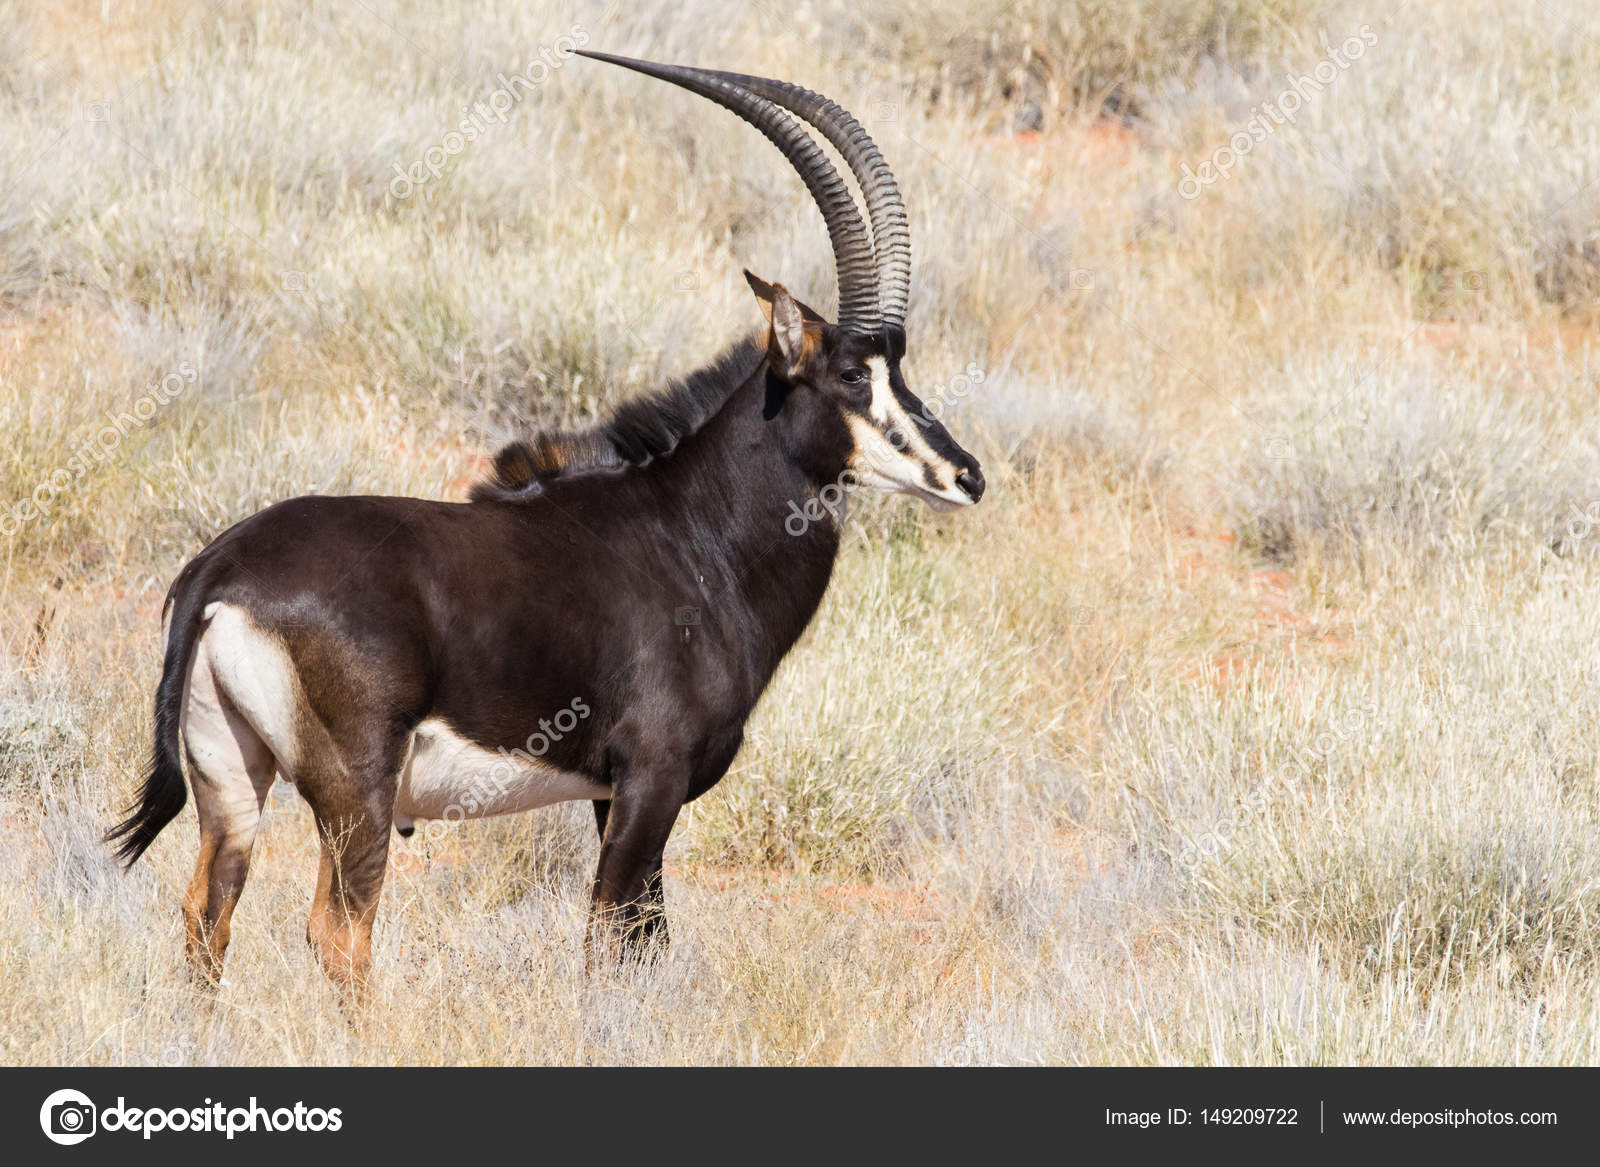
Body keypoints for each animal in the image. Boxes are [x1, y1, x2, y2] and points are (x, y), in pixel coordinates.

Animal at [107, 53, 985, 995]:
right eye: (853, 375)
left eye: (900, 365)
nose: (965, 475)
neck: (694, 533)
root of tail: (221, 571)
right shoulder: (648, 782)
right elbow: (608, 942)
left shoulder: (610, 797)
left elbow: (645, 940)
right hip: (356, 791)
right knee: (338, 932)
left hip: (232, 777)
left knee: (207, 913)